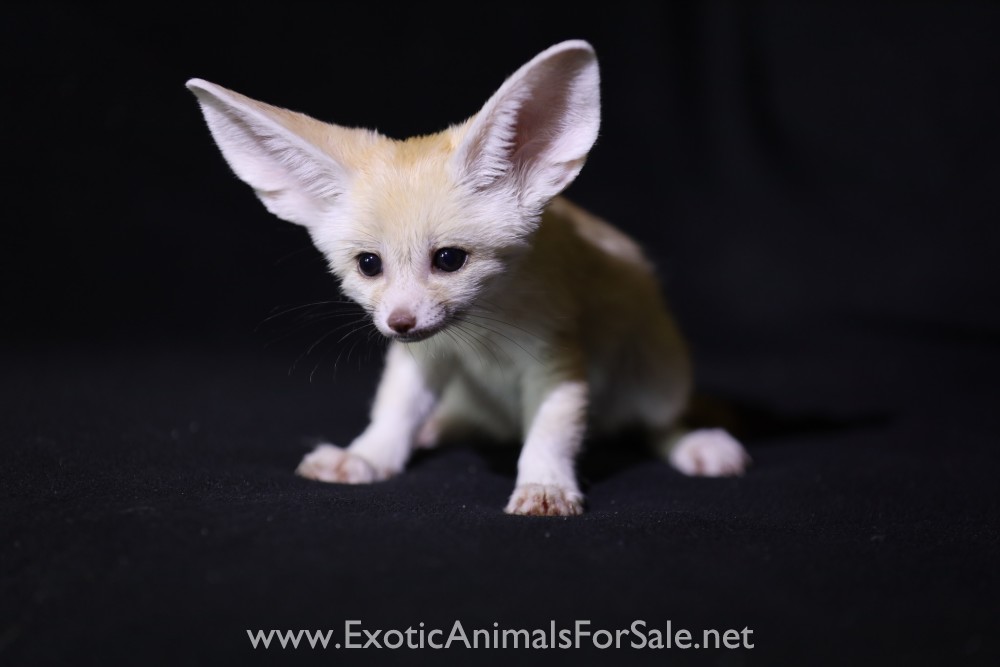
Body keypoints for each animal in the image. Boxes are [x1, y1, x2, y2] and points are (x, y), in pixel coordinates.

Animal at [186, 40, 750, 516]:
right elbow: (394, 409)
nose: (399, 322)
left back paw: (694, 441)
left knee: (654, 423)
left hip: (658, 373)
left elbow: (551, 430)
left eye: (449, 259)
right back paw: (436, 427)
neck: (480, 334)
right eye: (369, 264)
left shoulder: (557, 357)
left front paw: (544, 484)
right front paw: (368, 455)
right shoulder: (425, 355)